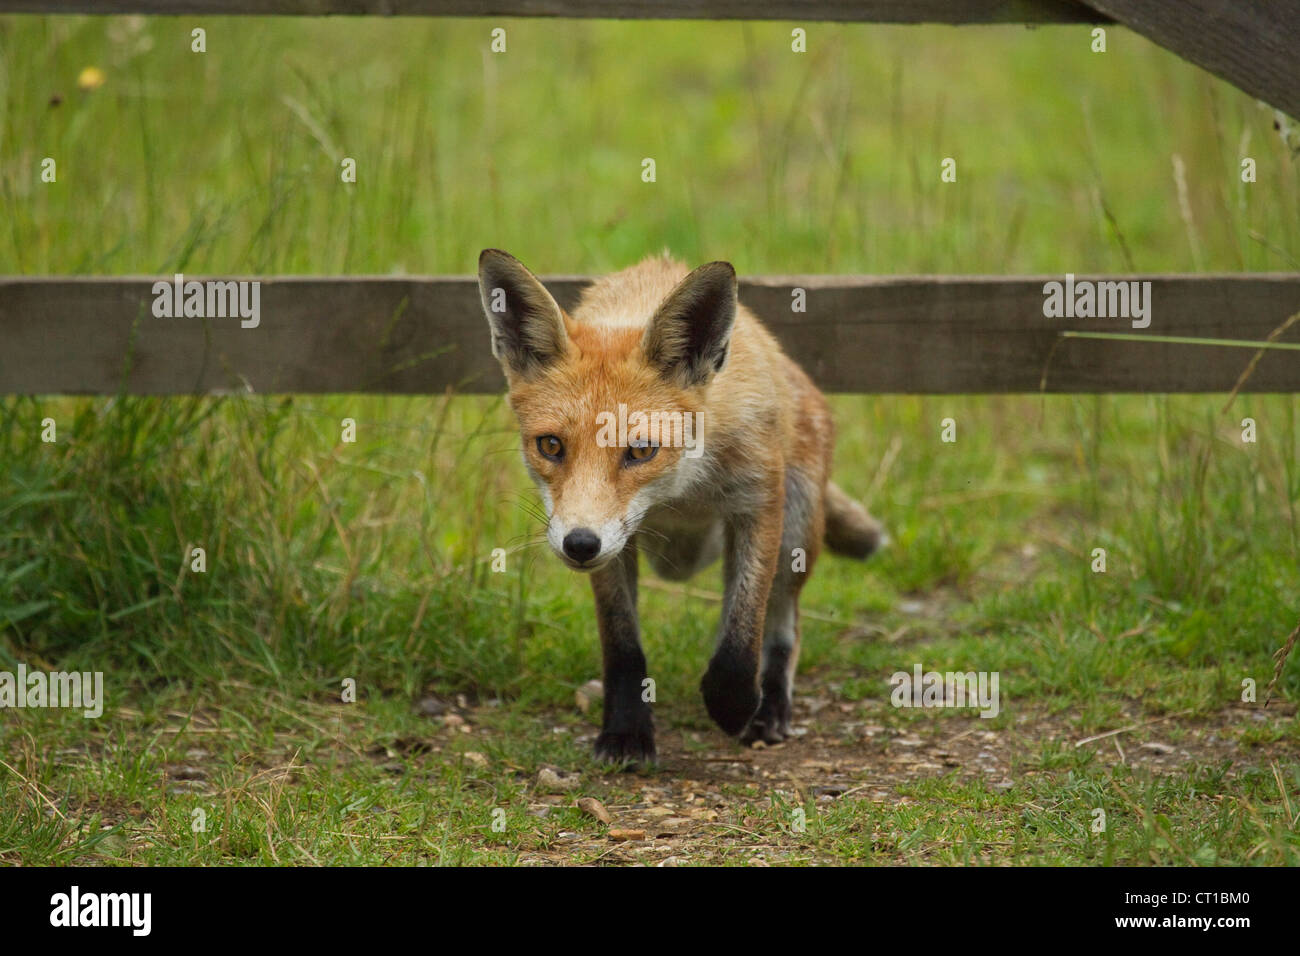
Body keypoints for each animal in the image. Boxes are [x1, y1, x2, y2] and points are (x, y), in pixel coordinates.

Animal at [478, 249, 884, 766]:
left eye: (640, 451)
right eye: (550, 446)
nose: (580, 546)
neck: (681, 491)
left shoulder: (758, 503)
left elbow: (741, 635)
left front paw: (733, 706)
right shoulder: (614, 542)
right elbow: (623, 646)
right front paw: (626, 732)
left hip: (795, 531)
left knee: (783, 626)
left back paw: (771, 707)